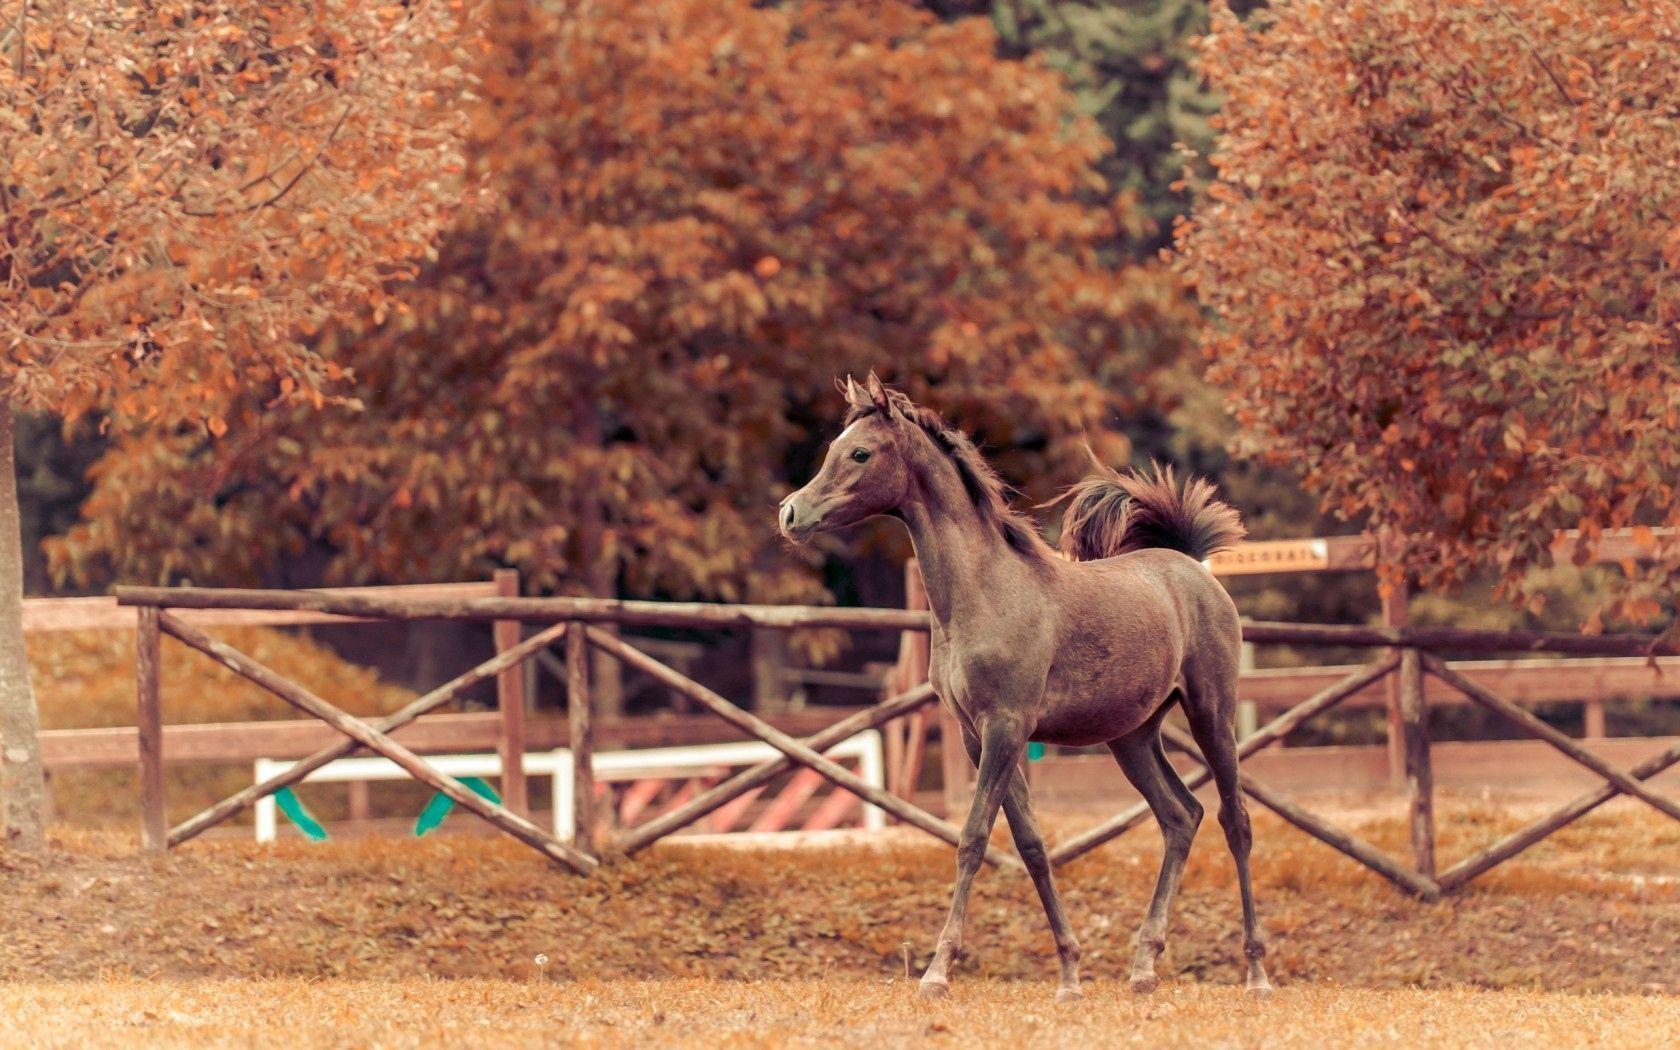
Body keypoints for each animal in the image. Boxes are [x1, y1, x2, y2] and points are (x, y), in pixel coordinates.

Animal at [778, 374, 1270, 1002]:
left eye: (860, 453)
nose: (791, 513)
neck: (984, 595)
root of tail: (1191, 566)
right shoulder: (978, 735)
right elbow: (1031, 844)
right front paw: (1069, 976)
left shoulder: (1006, 727)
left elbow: (972, 839)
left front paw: (938, 973)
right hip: (1132, 737)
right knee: (1181, 816)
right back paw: (1143, 968)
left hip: (1213, 713)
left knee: (1236, 822)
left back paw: (1256, 973)